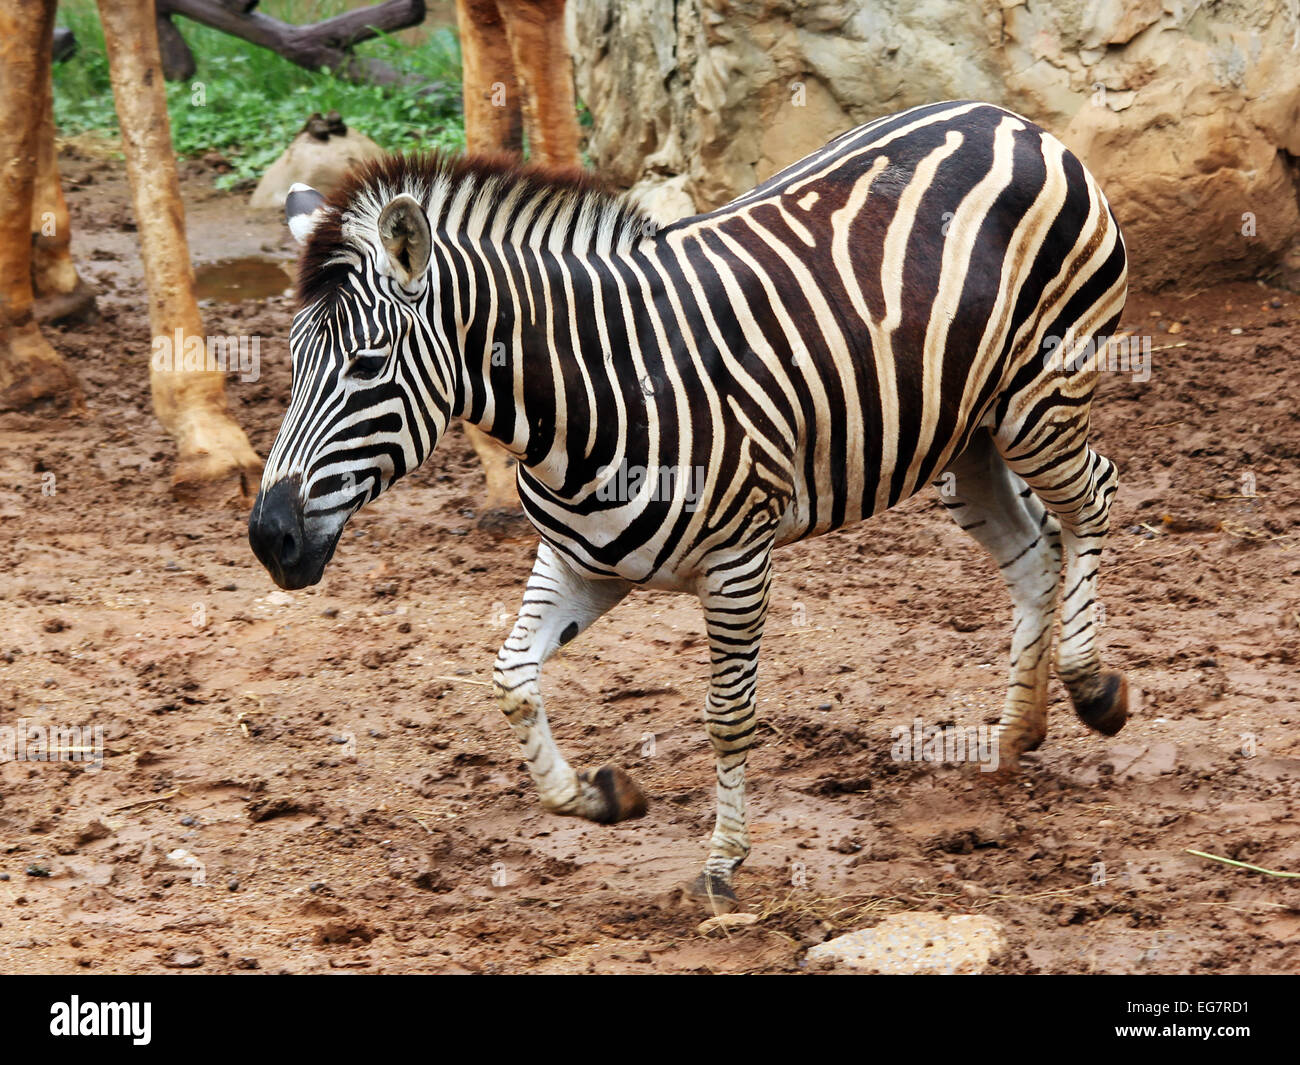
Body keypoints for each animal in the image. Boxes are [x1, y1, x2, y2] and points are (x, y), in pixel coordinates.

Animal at [249, 100, 1130, 912]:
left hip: (1041, 396)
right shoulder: (582, 563)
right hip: (965, 436)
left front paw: (722, 865)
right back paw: (1016, 735)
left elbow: (728, 715)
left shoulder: (739, 562)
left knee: (1096, 497)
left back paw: (1092, 686)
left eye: (368, 365)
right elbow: (511, 679)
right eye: (291, 361)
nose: (269, 538)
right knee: (1034, 550)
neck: (586, 402)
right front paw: (602, 796)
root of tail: (1002, 116)